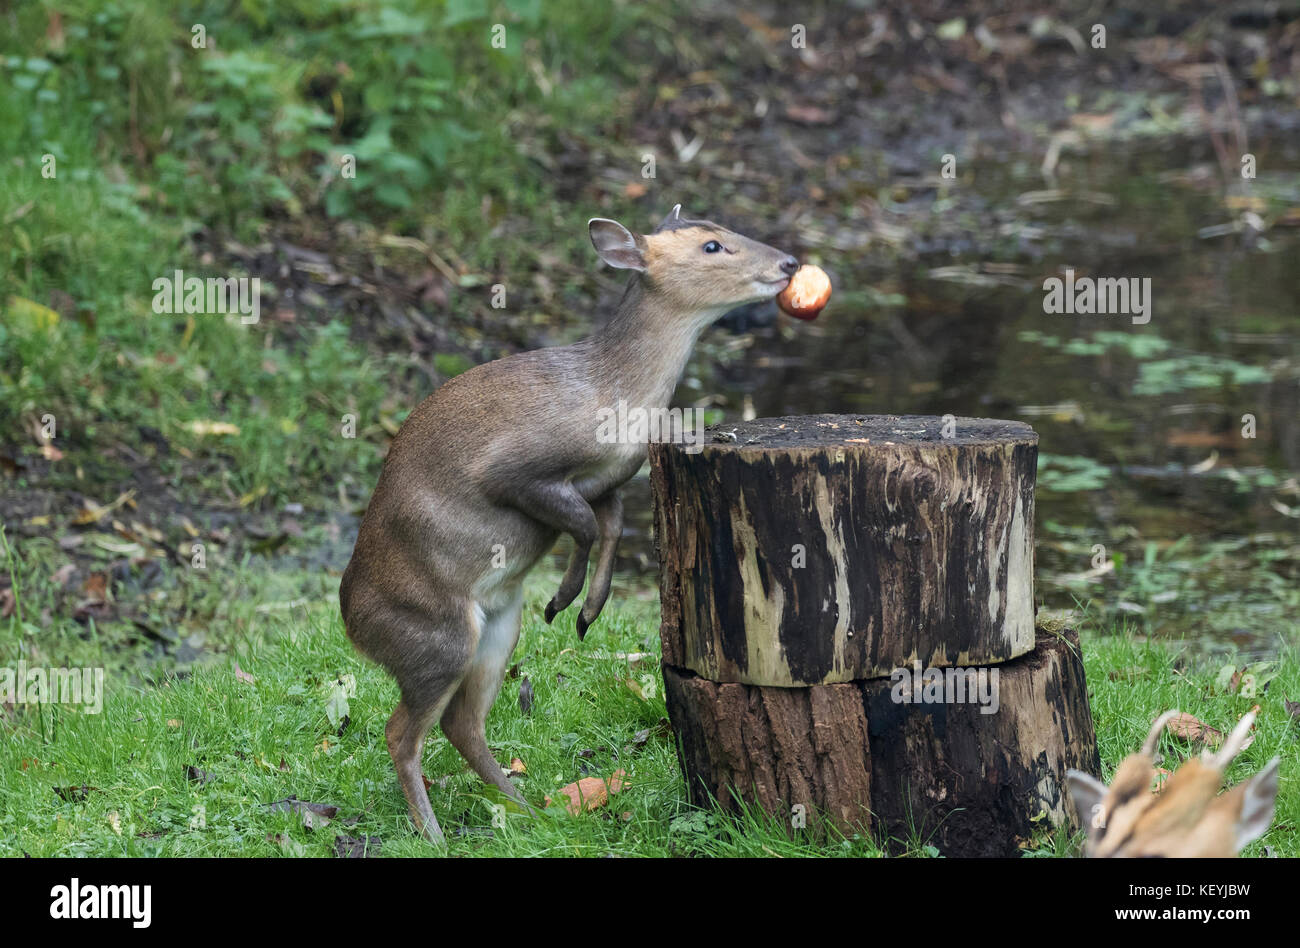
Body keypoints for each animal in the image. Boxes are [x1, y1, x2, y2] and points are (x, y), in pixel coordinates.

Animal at [339, 205, 801, 843]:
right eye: (713, 245)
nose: (789, 262)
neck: (616, 396)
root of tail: (352, 626)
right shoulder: (513, 466)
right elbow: (581, 526)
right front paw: (565, 598)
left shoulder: (610, 479)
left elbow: (608, 527)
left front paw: (587, 608)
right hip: (434, 636)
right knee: (400, 731)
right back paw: (434, 833)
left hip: (499, 626)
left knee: (461, 724)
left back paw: (531, 810)